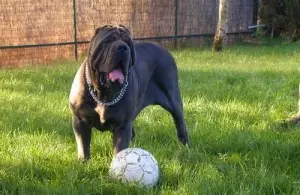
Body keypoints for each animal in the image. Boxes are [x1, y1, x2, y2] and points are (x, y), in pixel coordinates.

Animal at [69, 25, 189, 160]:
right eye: (108, 40)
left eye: (128, 43)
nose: (122, 47)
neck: (104, 94)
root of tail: (163, 49)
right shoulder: (79, 121)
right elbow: (83, 146)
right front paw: (83, 161)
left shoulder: (122, 126)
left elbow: (119, 149)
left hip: (173, 99)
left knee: (180, 123)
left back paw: (185, 147)